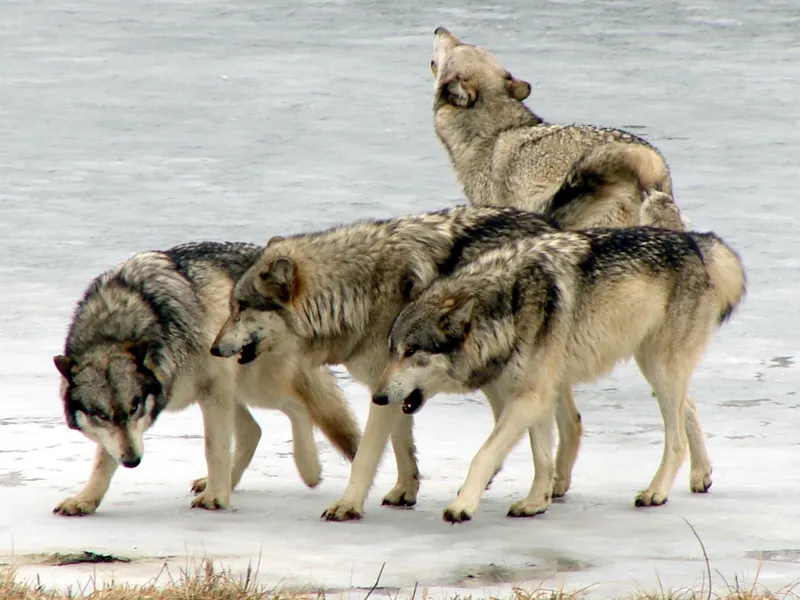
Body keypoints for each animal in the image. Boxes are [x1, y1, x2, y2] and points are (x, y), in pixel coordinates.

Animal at [52, 242, 360, 516]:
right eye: (101, 416)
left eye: (135, 406)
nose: (132, 461)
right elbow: (103, 461)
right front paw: (85, 500)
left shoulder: (214, 389)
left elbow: (214, 448)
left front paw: (215, 497)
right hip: (238, 391)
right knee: (255, 430)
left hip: (255, 385)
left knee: (298, 408)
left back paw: (309, 471)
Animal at [209, 205, 584, 521]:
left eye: (239, 308)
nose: (213, 349)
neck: (357, 293)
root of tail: (552, 225)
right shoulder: (392, 385)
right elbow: (401, 445)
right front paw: (405, 491)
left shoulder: (391, 382)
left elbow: (366, 455)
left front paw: (347, 505)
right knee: (563, 420)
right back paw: (547, 485)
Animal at [374, 226, 746, 523]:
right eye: (392, 351)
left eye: (411, 352)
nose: (378, 397)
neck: (507, 309)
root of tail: (693, 240)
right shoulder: (537, 395)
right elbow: (541, 458)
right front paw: (535, 502)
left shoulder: (530, 397)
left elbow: (484, 455)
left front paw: (462, 505)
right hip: (656, 368)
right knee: (690, 409)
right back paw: (701, 474)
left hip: (659, 370)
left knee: (676, 438)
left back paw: (656, 492)